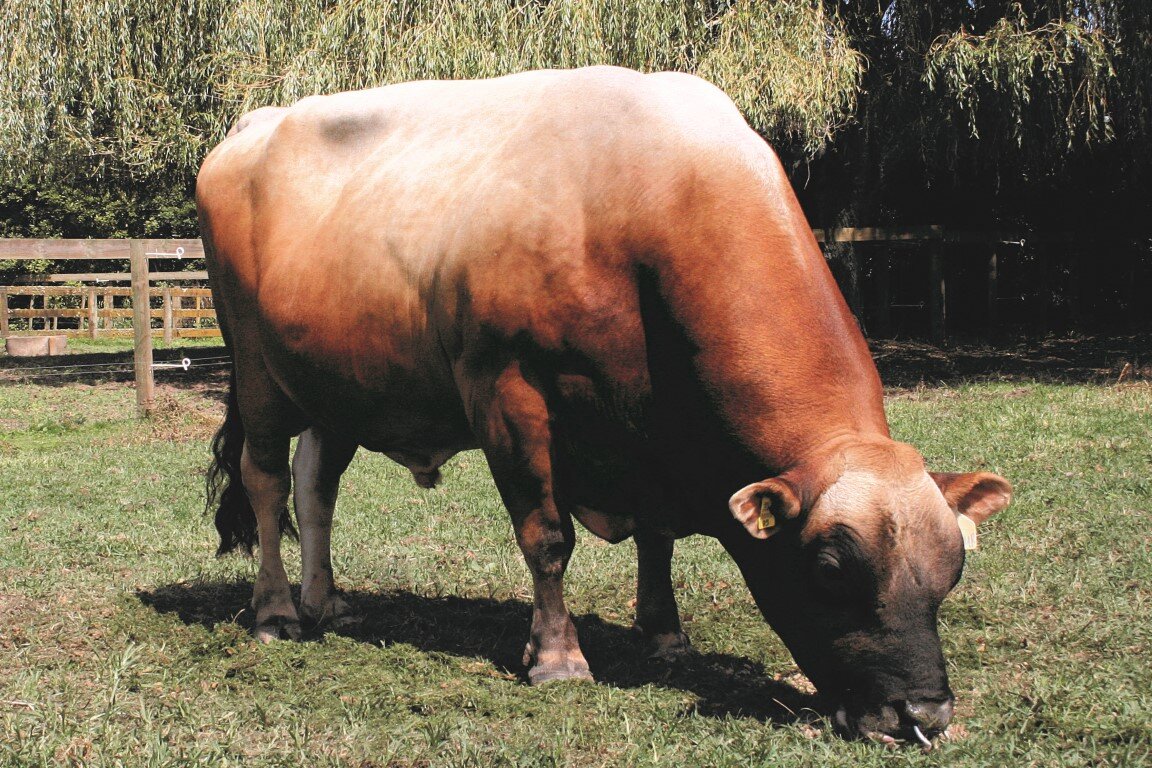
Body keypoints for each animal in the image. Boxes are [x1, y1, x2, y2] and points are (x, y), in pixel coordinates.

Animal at [196, 66, 1011, 745]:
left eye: (951, 572)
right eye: (831, 569)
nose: (922, 713)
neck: (654, 200)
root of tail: (253, 125)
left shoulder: (649, 434)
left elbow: (658, 538)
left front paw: (664, 633)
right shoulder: (509, 394)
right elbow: (547, 537)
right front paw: (558, 657)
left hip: (334, 385)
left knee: (317, 488)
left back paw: (326, 601)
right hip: (259, 372)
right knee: (268, 484)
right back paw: (276, 611)